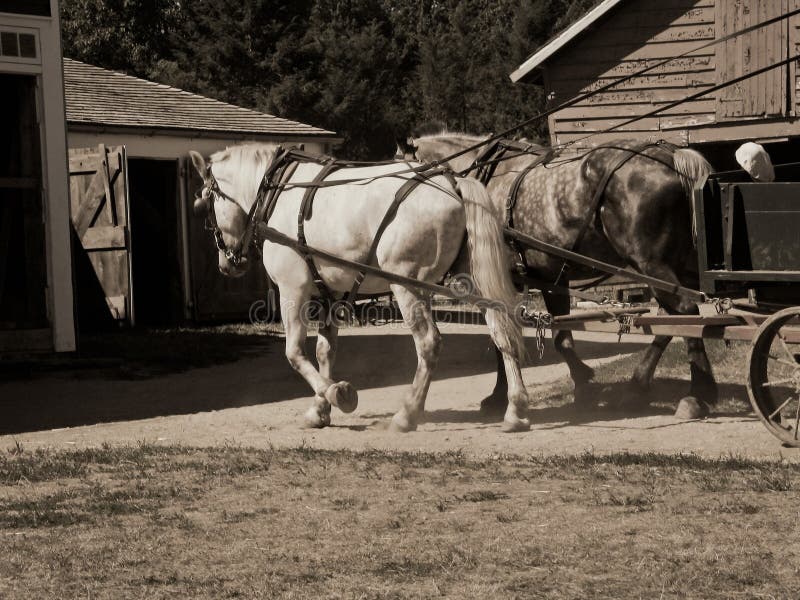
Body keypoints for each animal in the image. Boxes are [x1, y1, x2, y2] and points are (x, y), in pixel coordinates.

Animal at [189, 143, 532, 433]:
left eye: (205, 204)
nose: (227, 264)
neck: (276, 191)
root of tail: (454, 184)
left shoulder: (293, 289)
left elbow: (294, 352)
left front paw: (336, 393)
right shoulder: (330, 294)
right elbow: (325, 350)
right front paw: (319, 409)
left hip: (408, 285)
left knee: (428, 344)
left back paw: (408, 414)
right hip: (471, 281)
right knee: (502, 332)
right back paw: (515, 410)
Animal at [402, 132, 716, 419]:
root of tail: (673, 156)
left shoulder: (505, 279)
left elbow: (514, 338)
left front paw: (503, 396)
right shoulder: (553, 278)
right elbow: (559, 337)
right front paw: (579, 387)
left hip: (650, 263)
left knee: (685, 312)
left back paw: (697, 395)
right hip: (679, 267)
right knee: (673, 320)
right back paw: (638, 388)